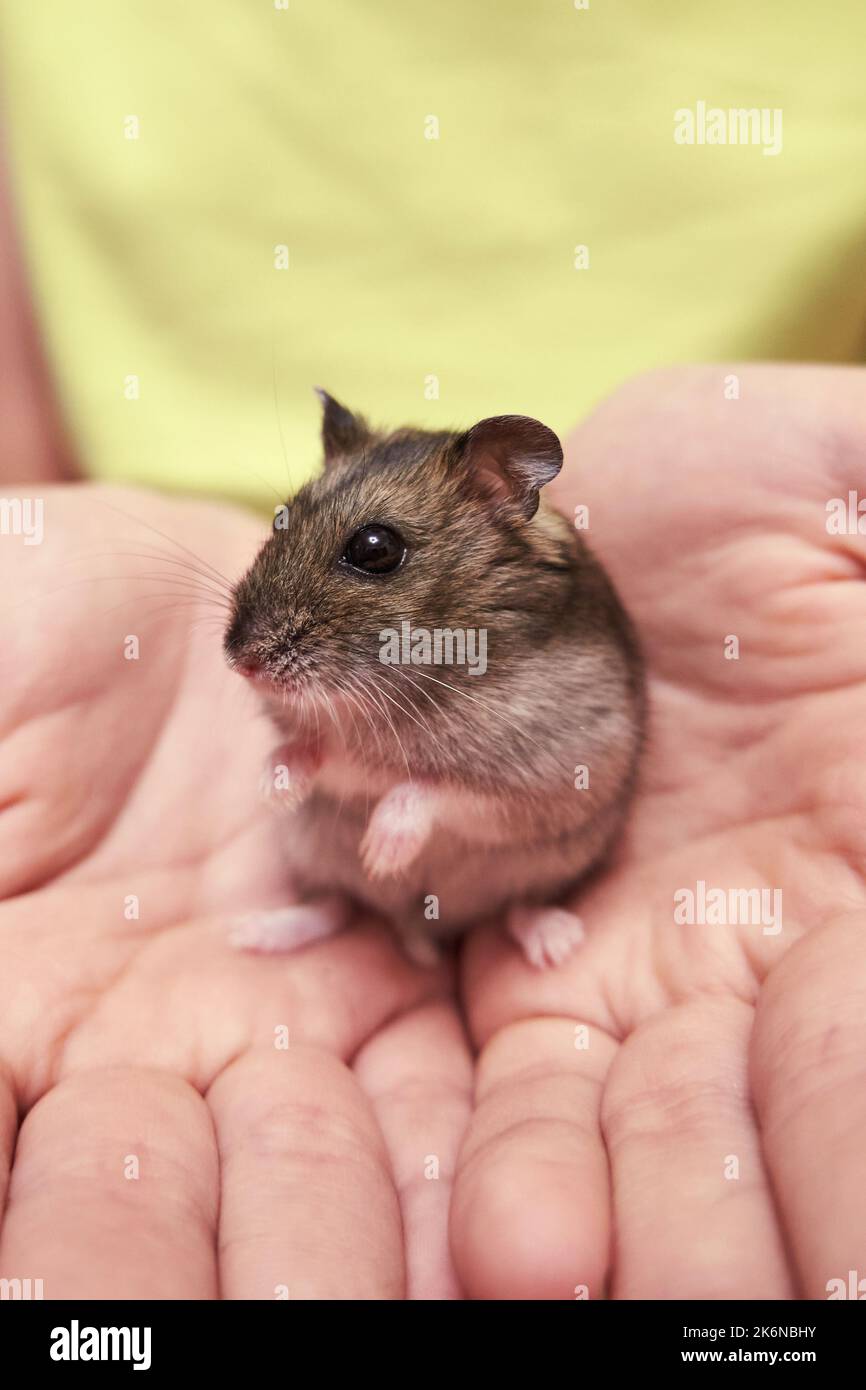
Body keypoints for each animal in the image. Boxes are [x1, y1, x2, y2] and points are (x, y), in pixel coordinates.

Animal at [223, 391, 644, 967]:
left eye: (375, 548)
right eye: (279, 518)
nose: (240, 661)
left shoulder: (545, 779)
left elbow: (432, 789)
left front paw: (380, 853)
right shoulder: (340, 758)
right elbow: (312, 753)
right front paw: (277, 795)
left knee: (517, 906)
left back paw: (557, 942)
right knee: (335, 905)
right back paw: (256, 933)